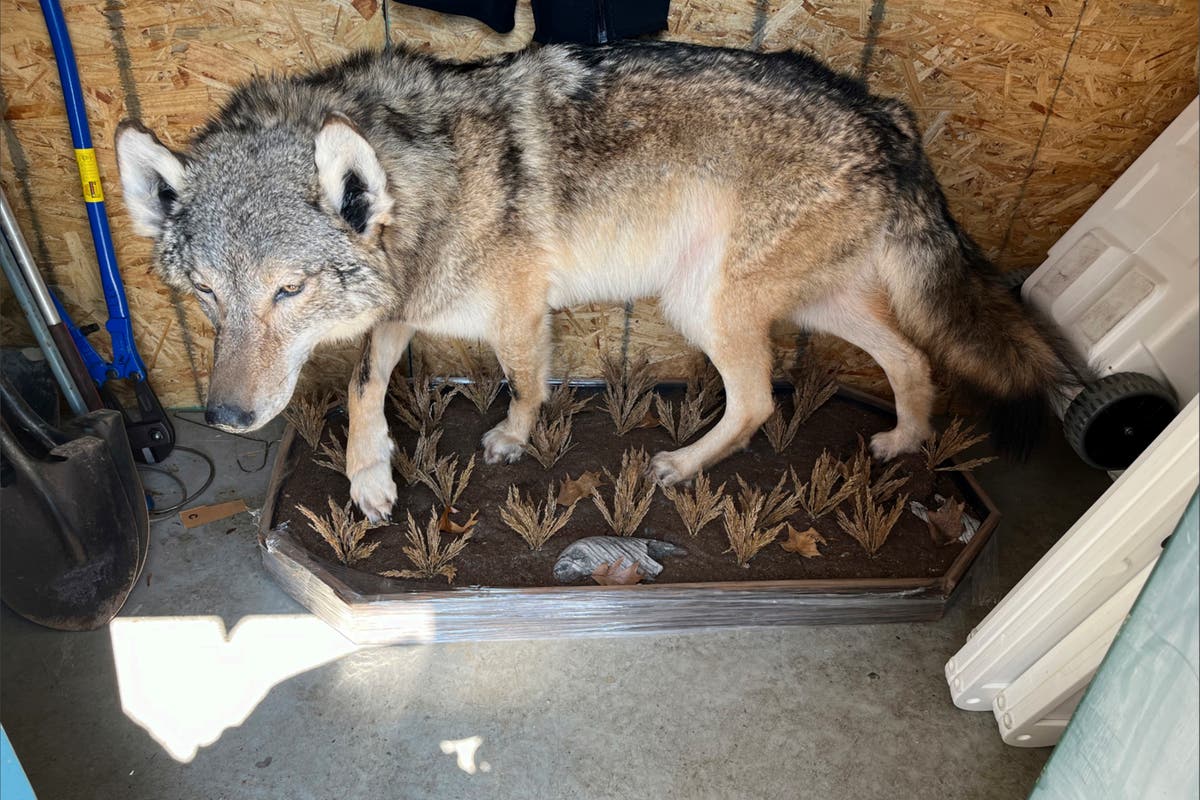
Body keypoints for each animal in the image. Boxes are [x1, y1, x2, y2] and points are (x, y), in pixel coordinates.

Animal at [115, 41, 1068, 521]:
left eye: (288, 291)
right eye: (208, 296)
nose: (227, 417)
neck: (428, 179)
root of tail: (891, 117)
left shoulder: (513, 311)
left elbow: (525, 382)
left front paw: (510, 440)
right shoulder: (404, 304)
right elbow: (360, 389)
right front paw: (369, 481)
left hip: (706, 307)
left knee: (761, 401)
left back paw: (683, 465)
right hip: (802, 302)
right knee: (911, 362)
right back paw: (904, 442)